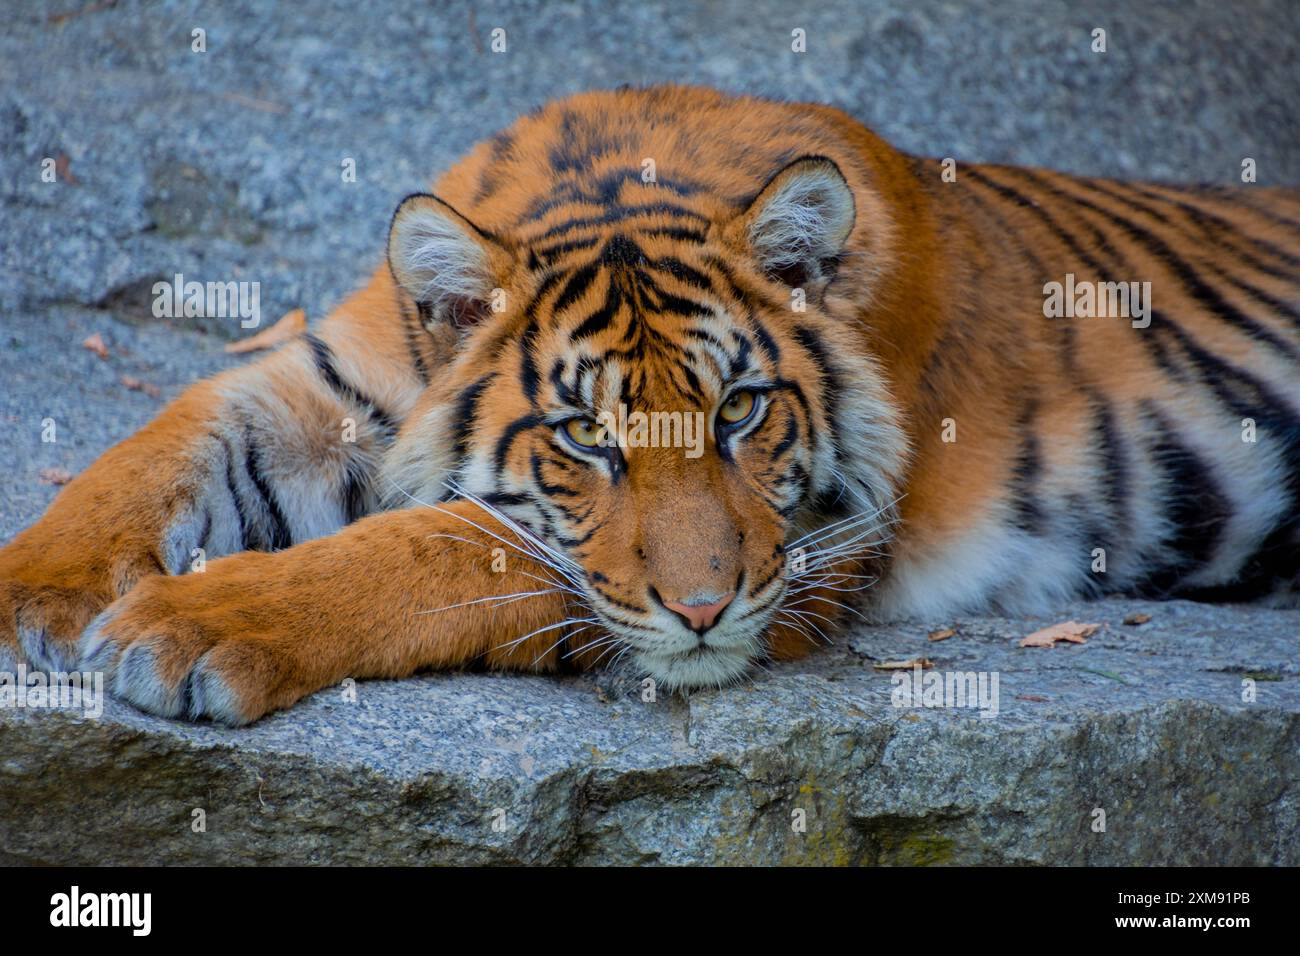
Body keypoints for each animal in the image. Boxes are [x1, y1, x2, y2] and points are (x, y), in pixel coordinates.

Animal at [1, 85, 1296, 725]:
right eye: (585, 435)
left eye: (739, 413)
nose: (706, 611)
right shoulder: (324, 375)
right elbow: (155, 444)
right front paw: (35, 598)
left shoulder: (828, 543)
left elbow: (443, 544)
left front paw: (192, 624)